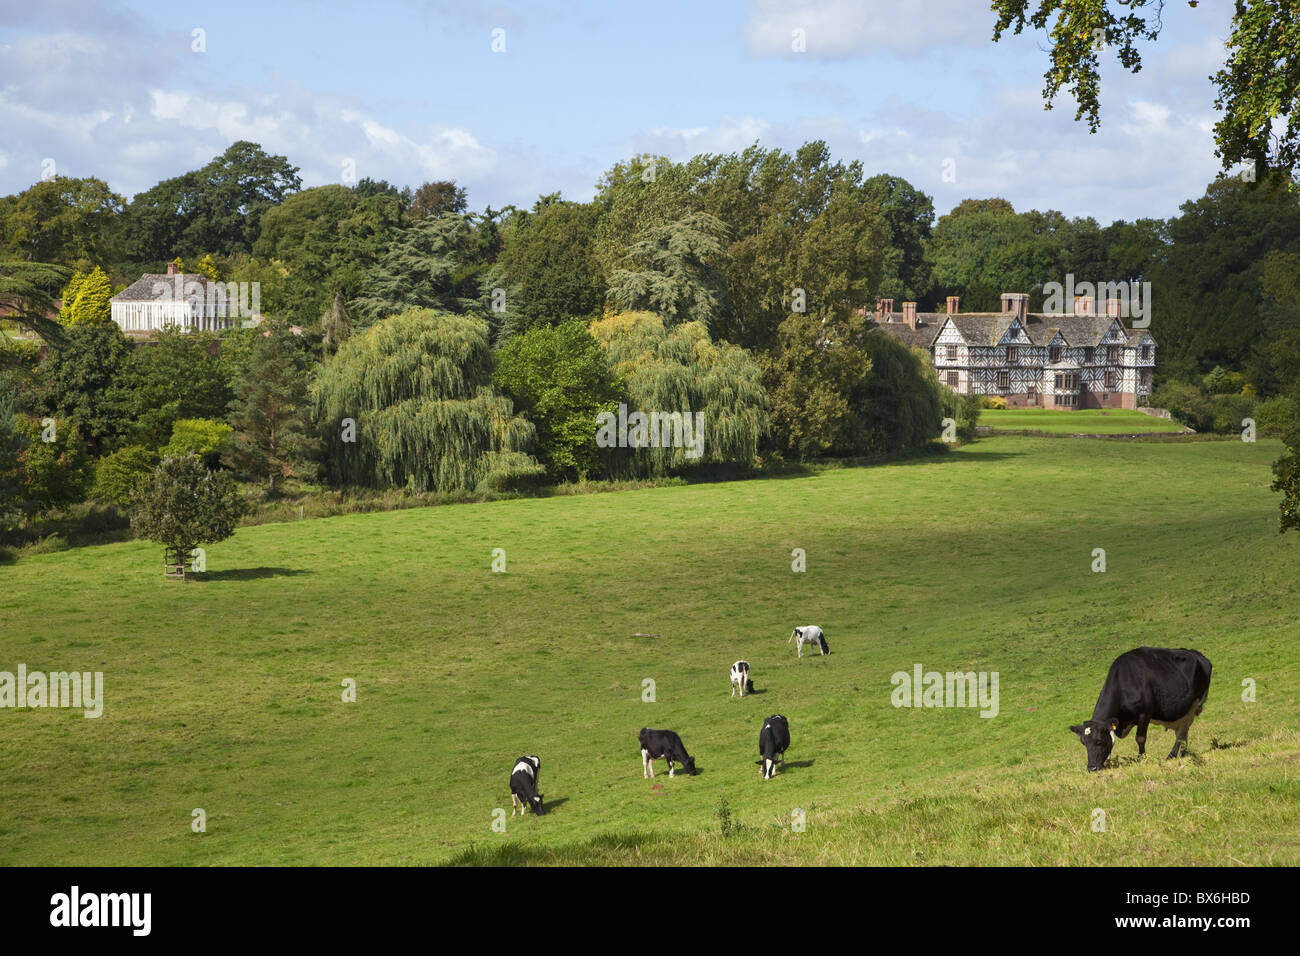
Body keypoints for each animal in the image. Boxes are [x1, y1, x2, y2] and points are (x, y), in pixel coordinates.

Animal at [1070, 647, 1212, 772]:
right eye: (1083, 742)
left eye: (1099, 741)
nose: (1092, 768)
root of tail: (1197, 654)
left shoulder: (1145, 714)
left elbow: (1140, 738)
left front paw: (1141, 758)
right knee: (1182, 733)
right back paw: (1177, 755)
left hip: (1193, 706)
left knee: (1182, 733)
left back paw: (1175, 754)